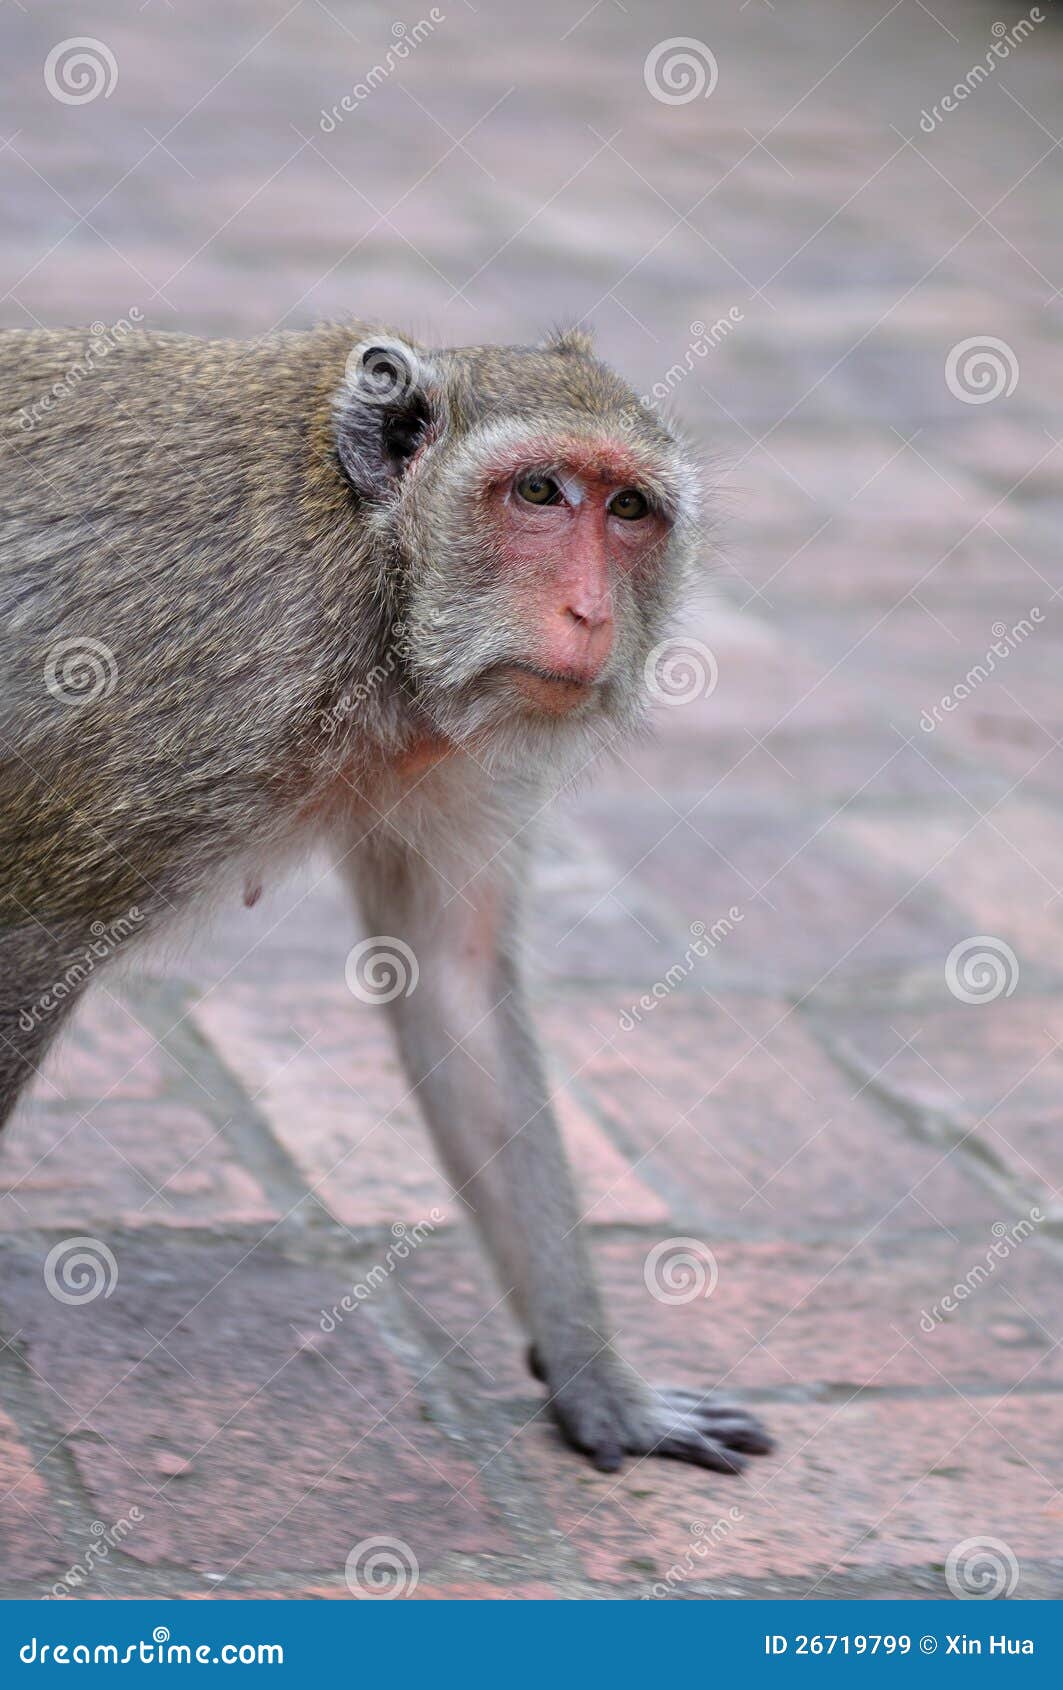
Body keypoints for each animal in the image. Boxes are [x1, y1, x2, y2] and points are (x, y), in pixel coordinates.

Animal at [0, 319, 772, 1476]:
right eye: (537, 491)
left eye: (627, 509)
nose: (590, 612)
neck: (377, 575)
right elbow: (33, 942)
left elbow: (455, 982)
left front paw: (600, 1385)